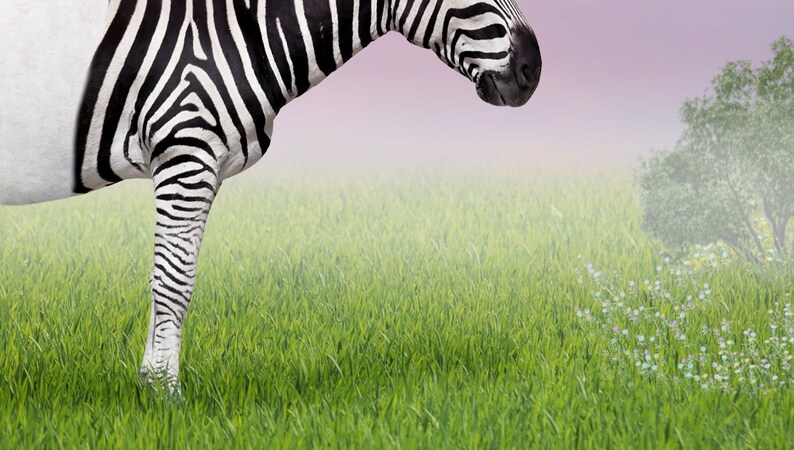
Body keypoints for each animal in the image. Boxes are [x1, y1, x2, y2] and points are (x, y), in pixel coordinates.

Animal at [0, 0, 541, 391]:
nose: (533, 71)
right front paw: (166, 396)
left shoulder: (202, 165)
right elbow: (173, 282)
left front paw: (151, 385)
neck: (241, 29)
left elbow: (173, 277)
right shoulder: (186, 149)